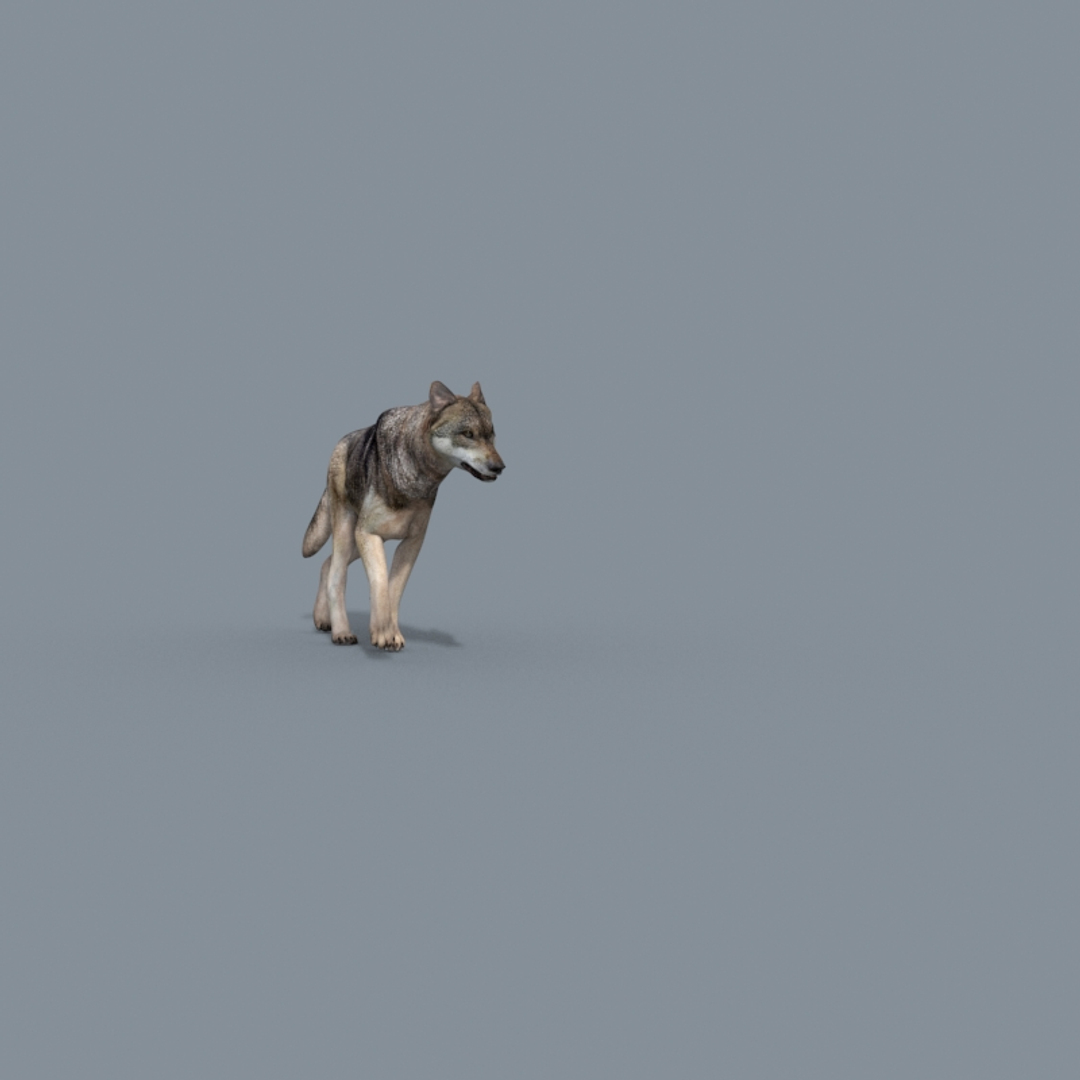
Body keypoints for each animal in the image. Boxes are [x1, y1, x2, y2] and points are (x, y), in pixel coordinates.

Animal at [302, 381, 505, 650]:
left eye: (491, 434)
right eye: (468, 434)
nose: (500, 468)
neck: (414, 480)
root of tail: (341, 442)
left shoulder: (411, 542)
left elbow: (394, 590)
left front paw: (392, 634)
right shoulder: (369, 535)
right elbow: (380, 584)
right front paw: (382, 634)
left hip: (356, 541)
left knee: (327, 563)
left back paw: (323, 620)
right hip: (348, 531)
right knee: (336, 574)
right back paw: (341, 632)